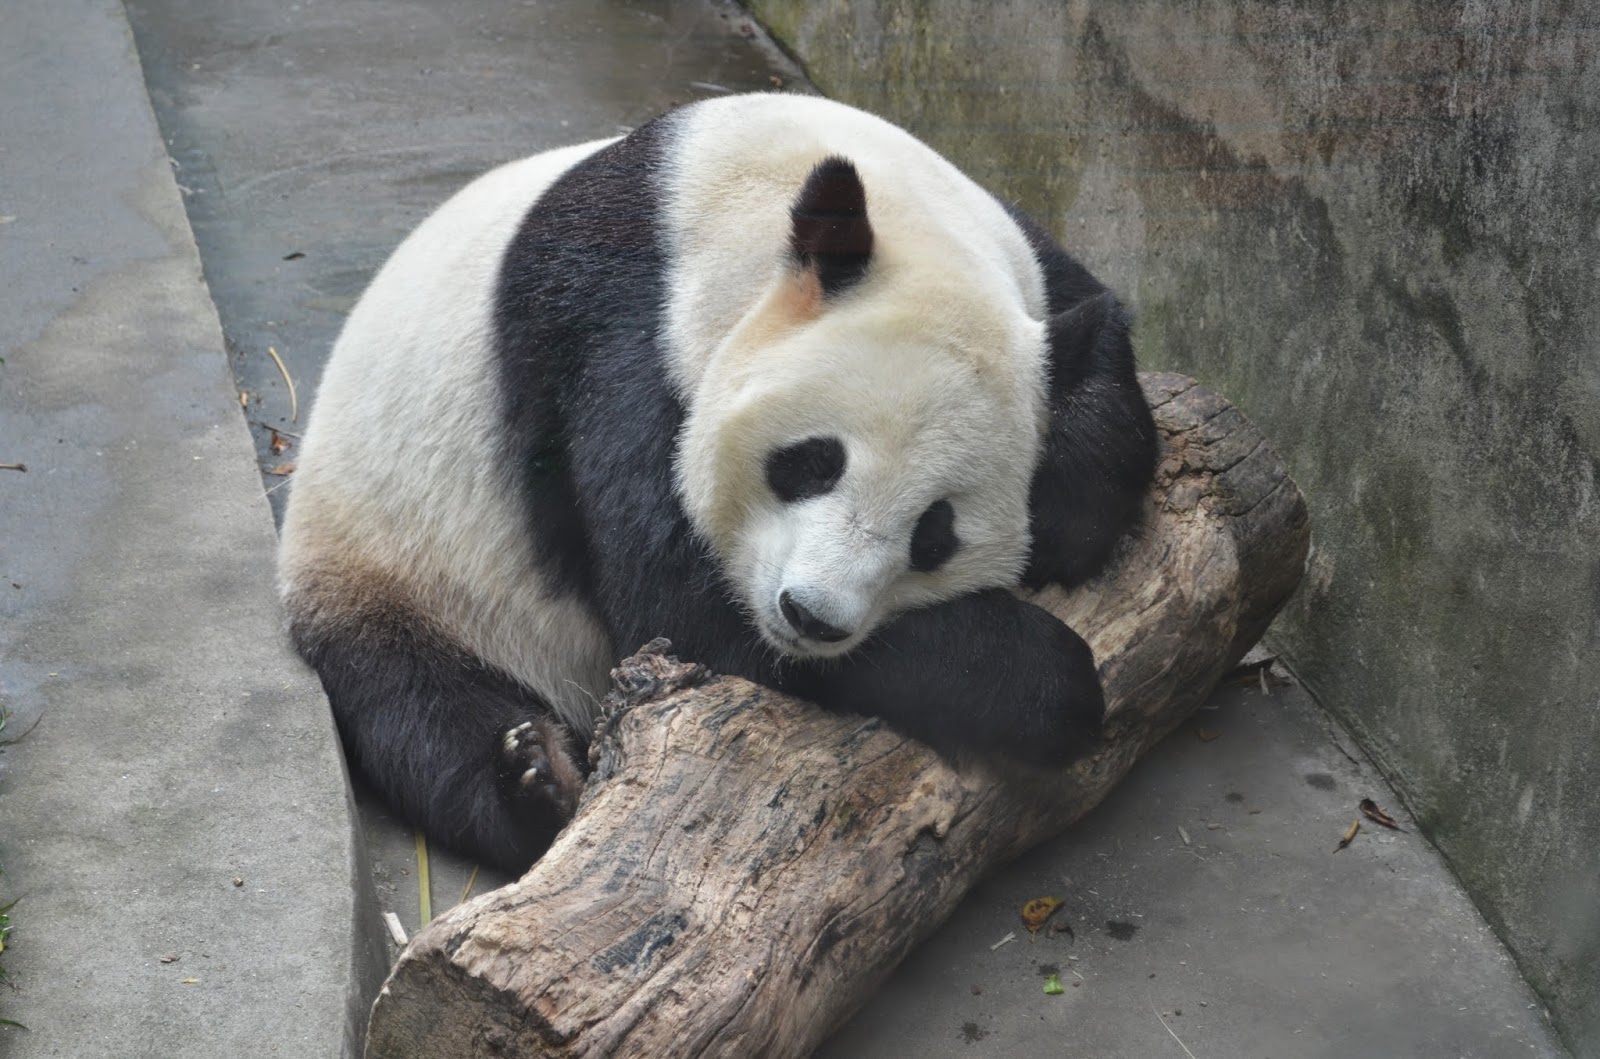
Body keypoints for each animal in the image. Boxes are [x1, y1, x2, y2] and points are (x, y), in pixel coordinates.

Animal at [279, 93, 1159, 874]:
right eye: (813, 461)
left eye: (935, 533)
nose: (810, 616)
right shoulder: (616, 329)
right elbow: (682, 608)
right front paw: (1044, 679)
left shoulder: (1026, 256)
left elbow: (1099, 342)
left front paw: (1068, 502)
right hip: (394, 561)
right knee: (418, 706)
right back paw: (534, 779)